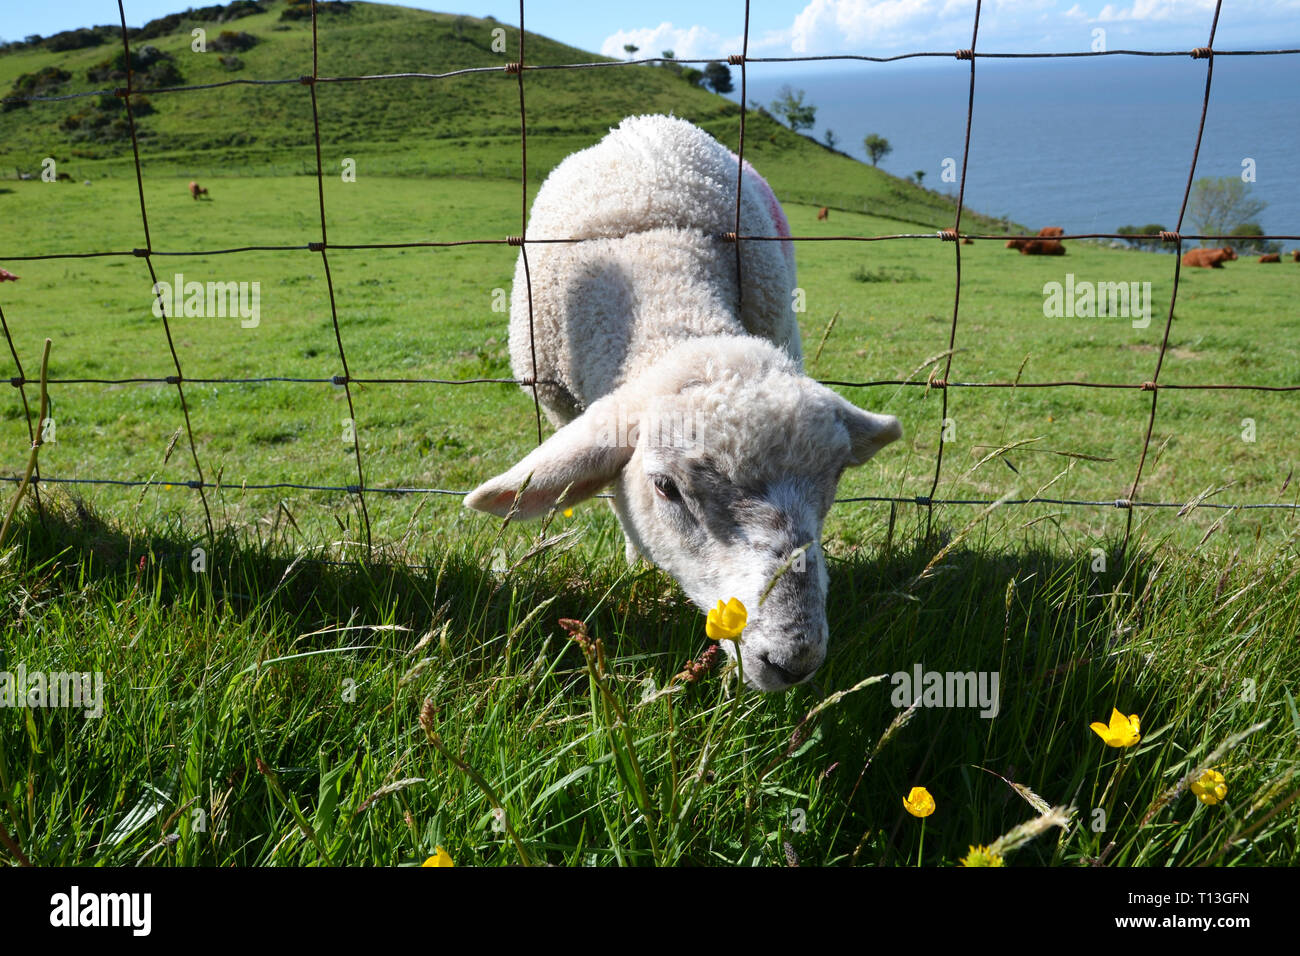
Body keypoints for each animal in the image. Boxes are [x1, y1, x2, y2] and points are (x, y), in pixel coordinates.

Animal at [464, 115, 902, 692]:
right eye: (665, 488)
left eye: (833, 481)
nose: (792, 661)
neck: (660, 268)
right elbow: (616, 498)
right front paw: (636, 562)